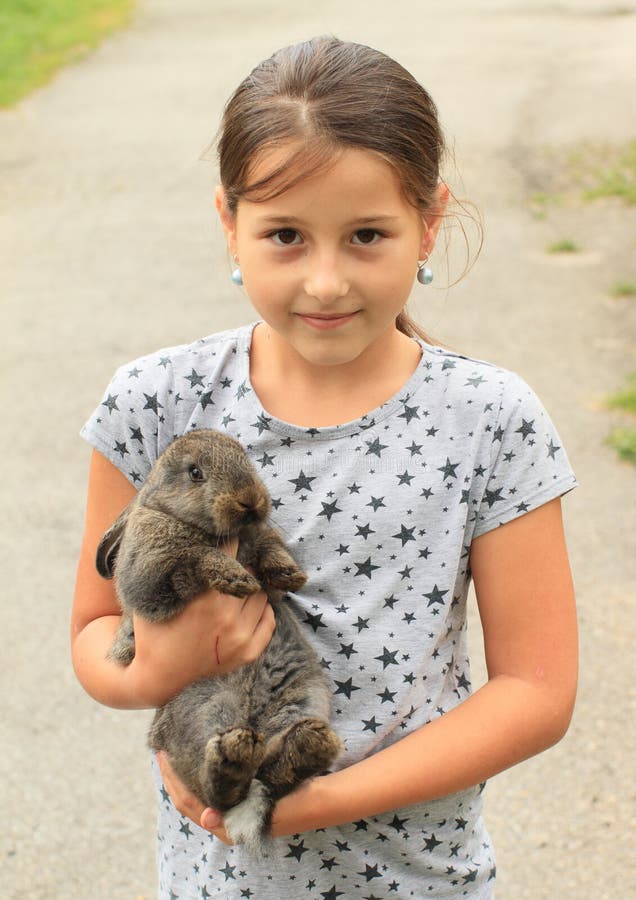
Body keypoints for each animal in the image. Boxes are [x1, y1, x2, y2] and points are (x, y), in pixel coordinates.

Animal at [96, 429, 343, 855]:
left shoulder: (261, 538)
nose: (250, 500)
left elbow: (271, 550)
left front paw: (290, 576)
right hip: (201, 712)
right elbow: (196, 557)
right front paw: (236, 579)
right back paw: (234, 757)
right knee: (217, 790)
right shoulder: (152, 568)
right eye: (195, 472)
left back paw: (307, 745)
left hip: (303, 698)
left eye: (246, 459)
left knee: (271, 773)